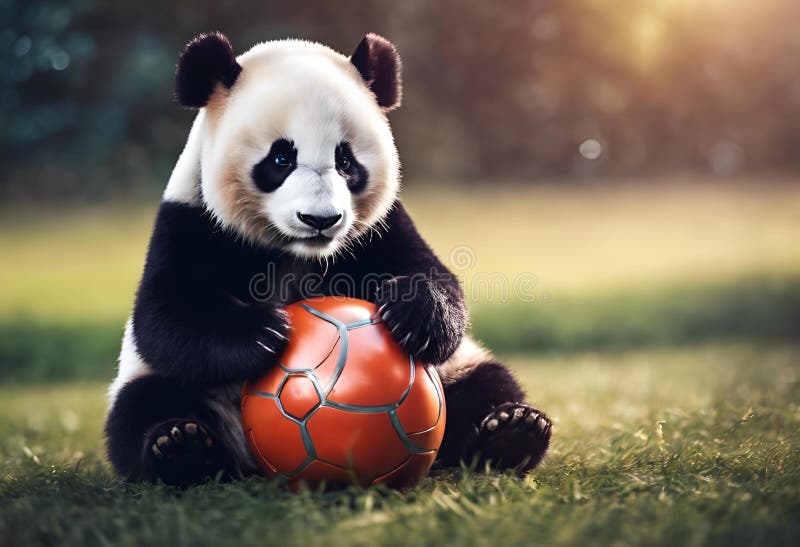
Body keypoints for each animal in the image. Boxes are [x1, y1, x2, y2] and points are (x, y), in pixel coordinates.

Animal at [105, 31, 552, 486]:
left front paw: (413, 314)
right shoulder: (193, 222)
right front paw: (264, 333)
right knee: (142, 406)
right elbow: (165, 314)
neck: (298, 251)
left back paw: (513, 433)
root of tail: (252, 461)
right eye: (281, 158)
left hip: (455, 370)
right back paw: (183, 448)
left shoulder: (380, 228)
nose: (320, 220)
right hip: (175, 386)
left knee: (484, 383)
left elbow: (433, 276)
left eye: (345, 160)